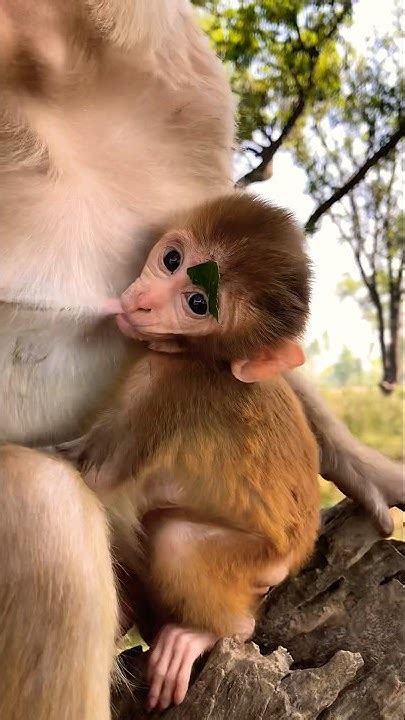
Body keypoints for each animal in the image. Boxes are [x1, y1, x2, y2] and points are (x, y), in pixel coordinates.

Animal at [61, 193, 320, 711]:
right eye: (172, 260)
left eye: (198, 304)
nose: (142, 302)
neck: (202, 359)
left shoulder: (164, 390)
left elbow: (95, 476)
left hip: (257, 565)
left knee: (176, 538)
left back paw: (205, 632)